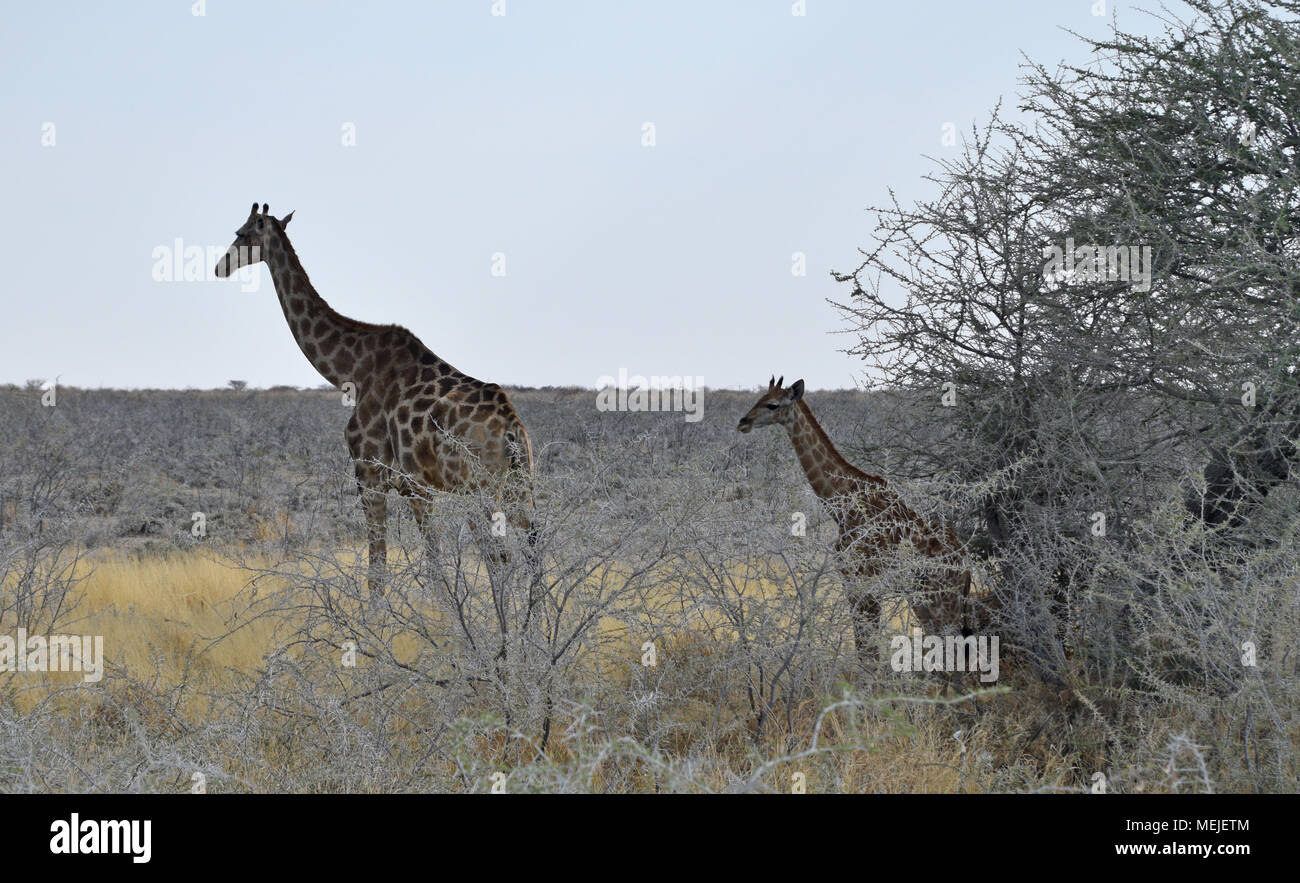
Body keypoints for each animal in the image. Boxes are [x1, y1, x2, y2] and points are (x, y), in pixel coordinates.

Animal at [214, 202, 535, 593]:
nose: (219, 267)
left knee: (500, 560)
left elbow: (382, 573)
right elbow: (433, 569)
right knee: (532, 555)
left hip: (480, 489)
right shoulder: (415, 488)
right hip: (520, 485)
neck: (350, 369)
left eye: (242, 233)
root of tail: (512, 428)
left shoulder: (370, 475)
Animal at [737, 376, 971, 659]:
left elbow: (868, 652)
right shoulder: (852, 582)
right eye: (758, 398)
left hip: (943, 600)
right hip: (923, 601)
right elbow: (866, 650)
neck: (840, 504)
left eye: (772, 404)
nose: (743, 422)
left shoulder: (864, 582)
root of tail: (966, 565)